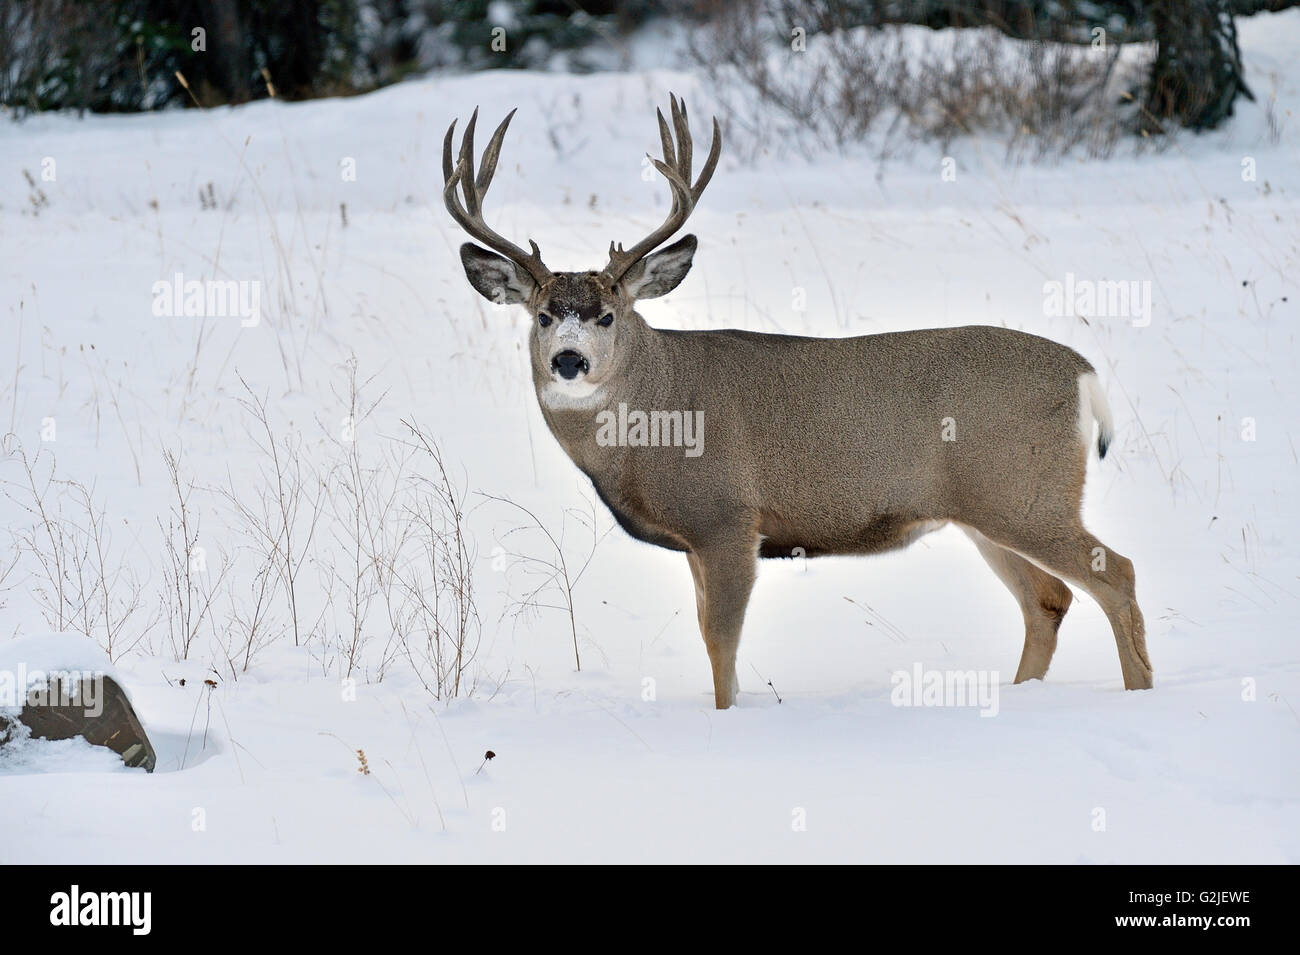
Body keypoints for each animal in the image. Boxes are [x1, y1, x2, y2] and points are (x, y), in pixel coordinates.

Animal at [442, 95, 1153, 709]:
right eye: (542, 316)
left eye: (609, 315)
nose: (569, 360)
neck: (655, 420)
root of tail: (1082, 373)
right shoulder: (699, 540)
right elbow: (709, 637)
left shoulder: (728, 518)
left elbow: (721, 644)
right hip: (985, 507)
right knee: (1048, 599)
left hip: (1025, 491)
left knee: (1115, 574)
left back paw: (1137, 695)